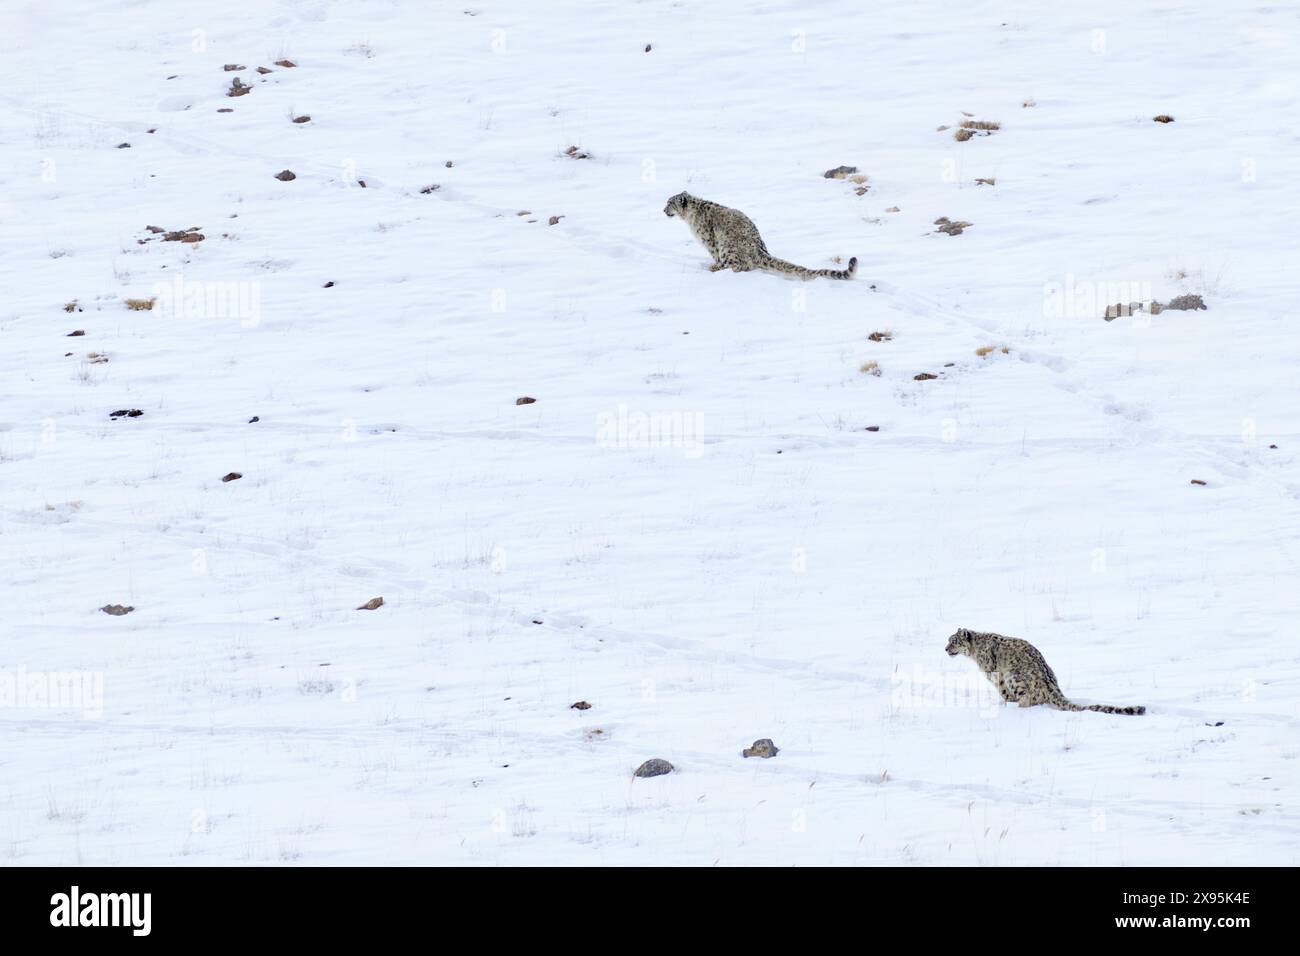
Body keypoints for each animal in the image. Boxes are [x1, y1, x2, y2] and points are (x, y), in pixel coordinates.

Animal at [664, 191, 857, 280]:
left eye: (670, 203)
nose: (663, 210)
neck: (690, 217)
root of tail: (759, 250)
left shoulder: (710, 242)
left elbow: (715, 256)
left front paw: (714, 266)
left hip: (727, 247)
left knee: (738, 266)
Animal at [945, 627, 1145, 715]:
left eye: (954, 641)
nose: (946, 649)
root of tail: (1051, 686)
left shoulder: (994, 674)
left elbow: (1003, 691)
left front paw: (1005, 703)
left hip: (1014, 677)